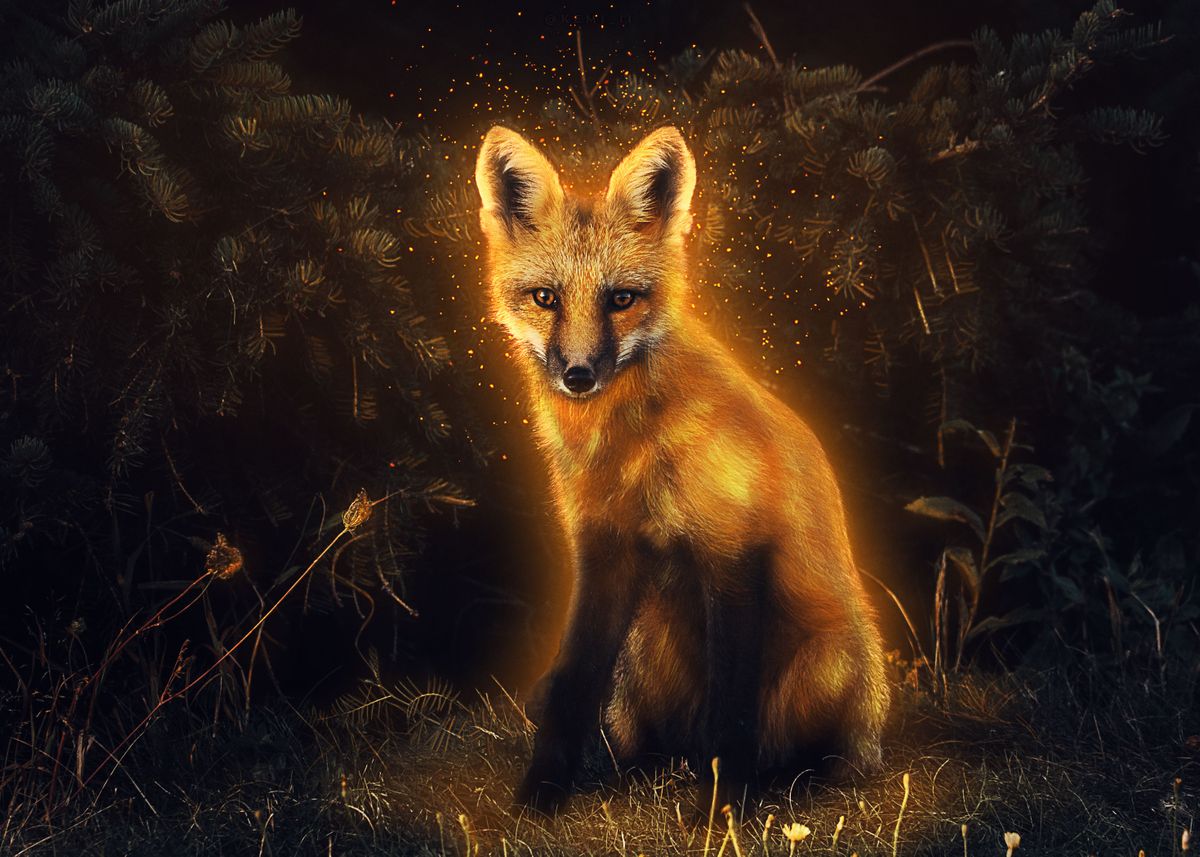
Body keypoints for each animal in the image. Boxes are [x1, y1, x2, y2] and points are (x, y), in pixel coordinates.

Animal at [474, 125, 890, 815]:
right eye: (545, 298)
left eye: (621, 298)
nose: (579, 375)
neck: (630, 452)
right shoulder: (604, 549)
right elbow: (572, 684)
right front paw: (540, 795)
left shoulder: (735, 551)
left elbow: (731, 708)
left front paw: (722, 812)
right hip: (644, 652)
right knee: (648, 739)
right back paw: (648, 769)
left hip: (829, 664)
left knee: (800, 753)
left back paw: (783, 781)